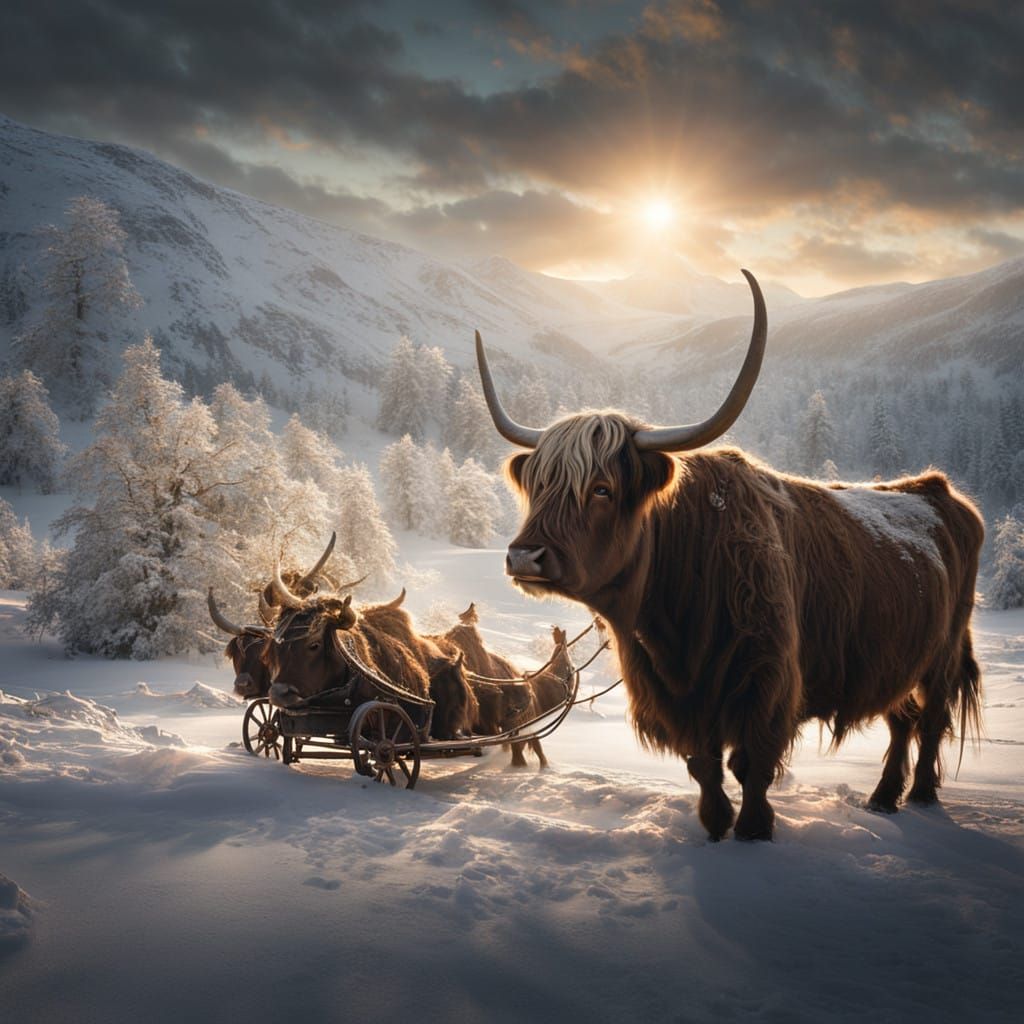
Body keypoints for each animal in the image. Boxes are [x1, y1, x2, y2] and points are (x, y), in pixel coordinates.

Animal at [476, 269, 984, 841]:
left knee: (930, 719)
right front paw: (715, 826)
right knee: (902, 720)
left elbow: (751, 765)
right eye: (538, 485)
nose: (525, 557)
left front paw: (754, 831)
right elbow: (704, 766)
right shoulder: (677, 699)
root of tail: (937, 490)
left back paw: (918, 795)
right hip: (899, 655)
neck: (673, 623)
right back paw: (882, 798)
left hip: (941, 654)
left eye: (602, 489)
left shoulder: (763, 682)